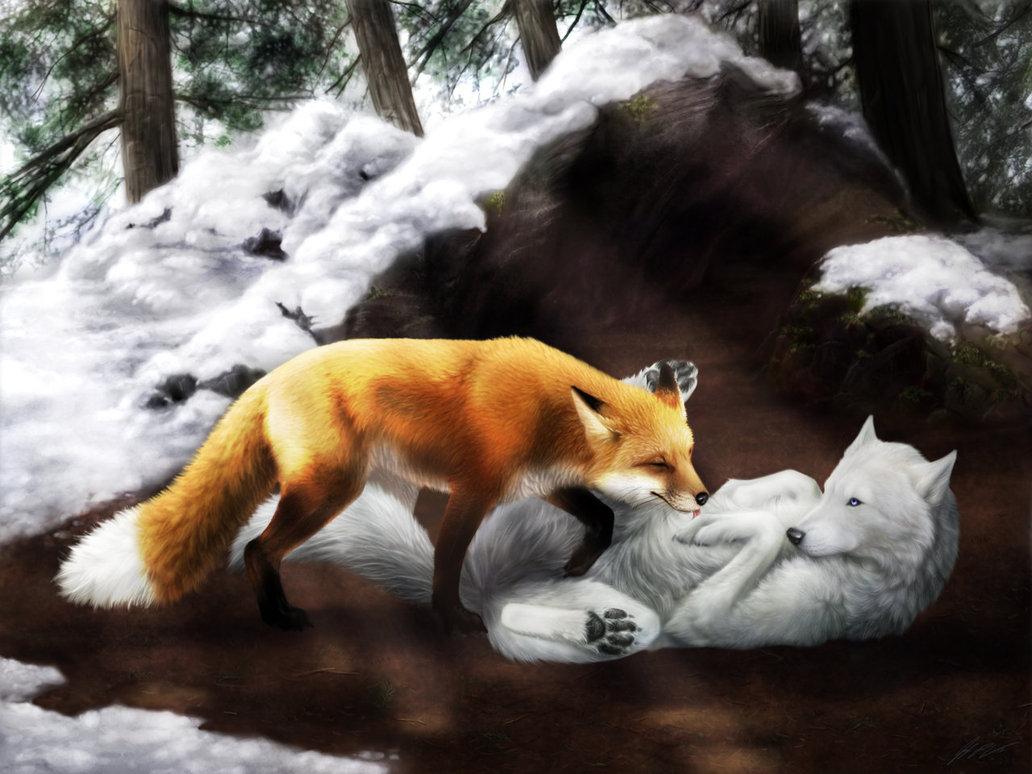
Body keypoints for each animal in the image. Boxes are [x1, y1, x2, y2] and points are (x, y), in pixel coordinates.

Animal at [57, 337, 708, 633]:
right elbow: (447, 559)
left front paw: (575, 568)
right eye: (657, 463)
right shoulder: (474, 490)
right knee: (255, 548)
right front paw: (452, 618)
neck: (549, 417)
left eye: (688, 455)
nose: (703, 496)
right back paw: (279, 618)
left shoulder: (539, 482)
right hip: (331, 490)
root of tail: (269, 377)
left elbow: (603, 517)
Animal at [231, 364, 959, 662]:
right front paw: (723, 515)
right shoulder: (765, 490)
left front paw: (729, 527)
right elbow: (781, 482)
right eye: (841, 490)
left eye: (857, 503)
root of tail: (490, 585)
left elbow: (753, 535)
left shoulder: (708, 620)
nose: (802, 533)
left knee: (501, 622)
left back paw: (593, 626)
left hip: (627, 618)